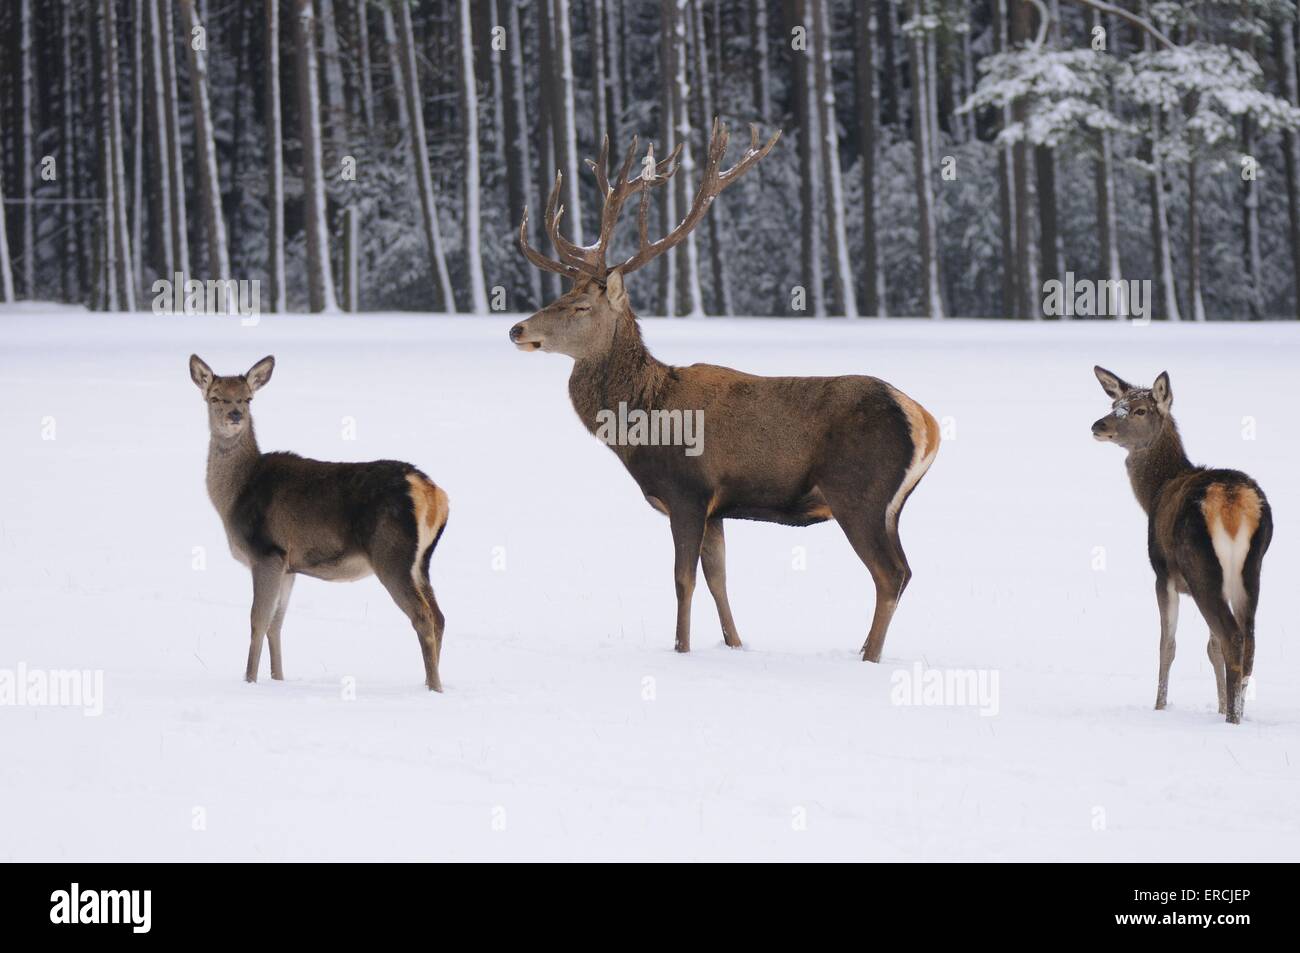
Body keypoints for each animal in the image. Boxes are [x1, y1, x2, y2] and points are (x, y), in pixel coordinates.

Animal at [189, 355, 449, 691]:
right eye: (216, 397)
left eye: (247, 398)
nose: (235, 415)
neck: (233, 496)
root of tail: (432, 492)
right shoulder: (288, 564)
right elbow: (275, 623)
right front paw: (278, 679)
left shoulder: (266, 551)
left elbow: (257, 621)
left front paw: (249, 681)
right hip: (421, 561)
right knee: (440, 616)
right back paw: (432, 683)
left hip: (392, 554)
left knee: (423, 617)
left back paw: (434, 687)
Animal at [508, 120, 940, 662]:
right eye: (561, 295)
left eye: (581, 306)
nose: (517, 329)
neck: (643, 419)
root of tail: (927, 423)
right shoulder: (717, 509)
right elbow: (718, 579)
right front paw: (735, 644)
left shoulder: (687, 492)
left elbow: (682, 580)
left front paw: (681, 649)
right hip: (891, 507)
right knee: (905, 571)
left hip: (857, 493)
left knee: (890, 574)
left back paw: (868, 656)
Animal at [1092, 367, 1272, 724]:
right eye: (1115, 403)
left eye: (1140, 410)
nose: (1098, 425)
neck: (1154, 493)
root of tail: (1232, 501)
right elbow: (1211, 648)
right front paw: (1219, 705)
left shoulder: (1163, 574)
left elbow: (1167, 644)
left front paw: (1159, 707)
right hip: (1251, 569)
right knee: (1249, 641)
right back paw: (1235, 714)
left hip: (1199, 567)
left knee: (1232, 636)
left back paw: (1232, 720)